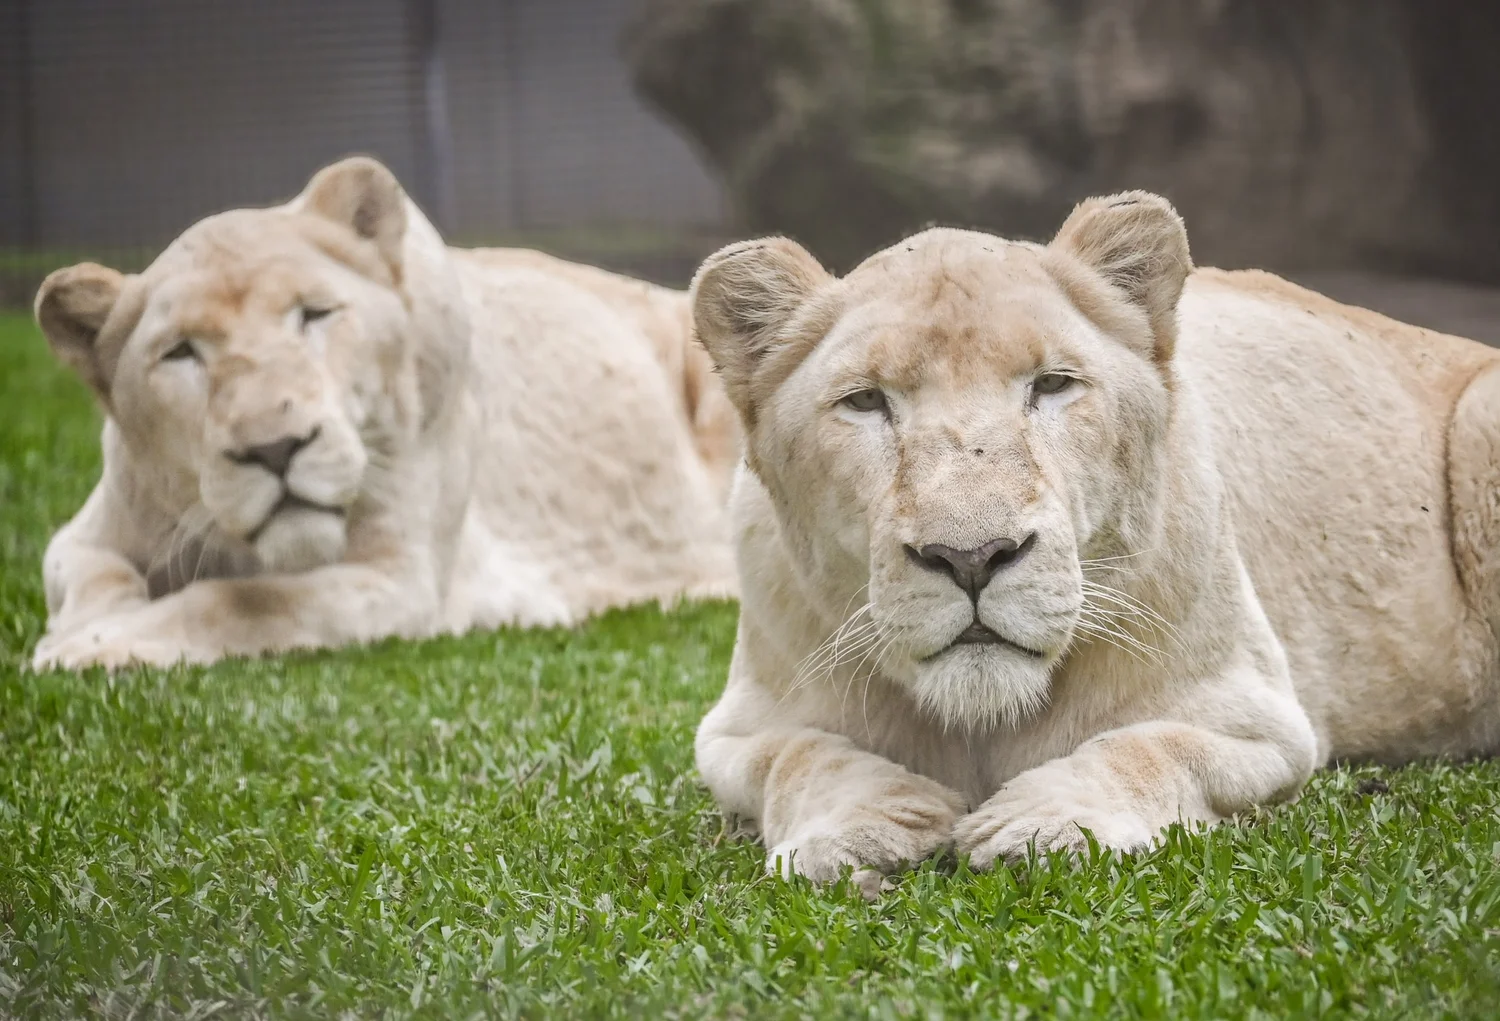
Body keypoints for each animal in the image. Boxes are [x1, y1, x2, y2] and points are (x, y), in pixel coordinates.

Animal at [30, 156, 738, 671]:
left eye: (315, 314)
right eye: (180, 352)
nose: (276, 449)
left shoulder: (401, 578)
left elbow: (236, 603)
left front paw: (91, 647)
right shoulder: (93, 527)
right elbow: (87, 569)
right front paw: (84, 626)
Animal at [689, 191, 1500, 895]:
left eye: (1053, 384)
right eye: (864, 401)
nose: (972, 558)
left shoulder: (1257, 720)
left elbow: (1145, 746)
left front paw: (1042, 827)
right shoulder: (736, 728)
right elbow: (800, 754)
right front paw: (864, 827)